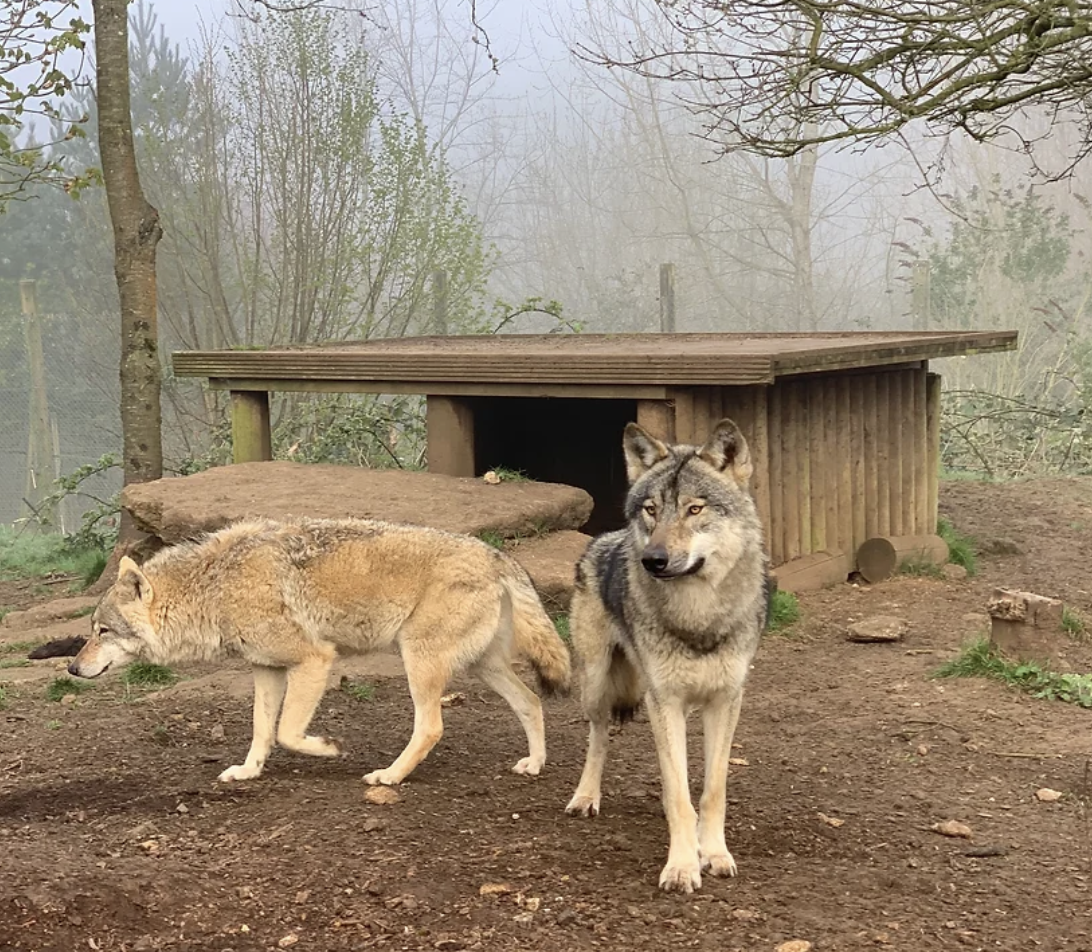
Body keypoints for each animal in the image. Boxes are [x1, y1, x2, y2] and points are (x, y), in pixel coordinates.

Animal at [68, 516, 571, 786]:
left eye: (103, 632)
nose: (72, 668)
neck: (215, 587)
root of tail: (497, 555)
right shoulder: (266, 670)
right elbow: (261, 731)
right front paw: (248, 772)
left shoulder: (315, 661)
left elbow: (288, 732)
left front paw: (329, 748)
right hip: (483, 667)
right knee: (531, 702)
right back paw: (534, 764)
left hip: (419, 662)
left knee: (431, 727)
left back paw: (389, 776)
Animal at [563, 417, 770, 894]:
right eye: (651, 510)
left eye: (694, 510)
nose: (652, 559)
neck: (698, 617)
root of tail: (605, 538)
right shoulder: (664, 701)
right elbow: (679, 793)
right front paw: (681, 866)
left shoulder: (725, 701)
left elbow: (710, 790)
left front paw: (713, 854)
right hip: (597, 686)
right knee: (599, 737)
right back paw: (586, 796)